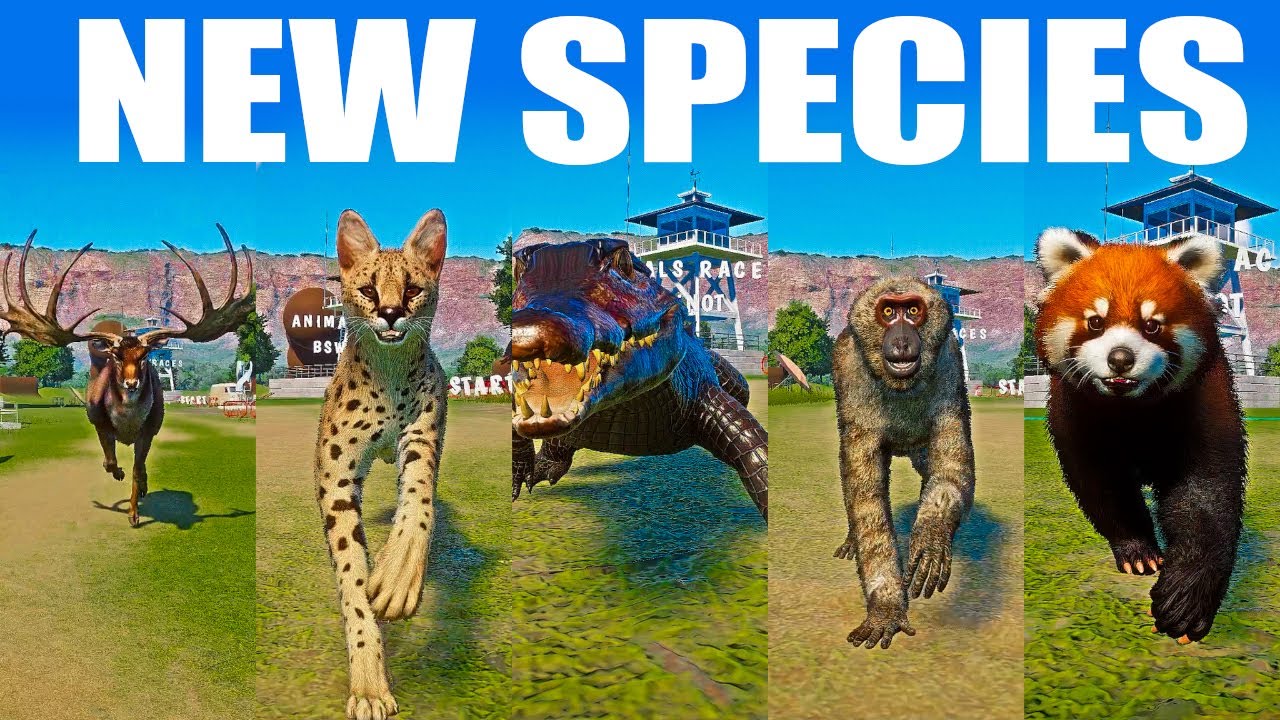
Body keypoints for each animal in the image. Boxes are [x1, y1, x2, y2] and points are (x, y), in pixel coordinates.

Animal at [0, 226, 255, 526]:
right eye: (116, 356)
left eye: (145, 355)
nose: (131, 383)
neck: (127, 419)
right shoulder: (99, 423)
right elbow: (110, 461)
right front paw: (117, 474)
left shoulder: (148, 429)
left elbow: (137, 467)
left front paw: (134, 512)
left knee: (141, 465)